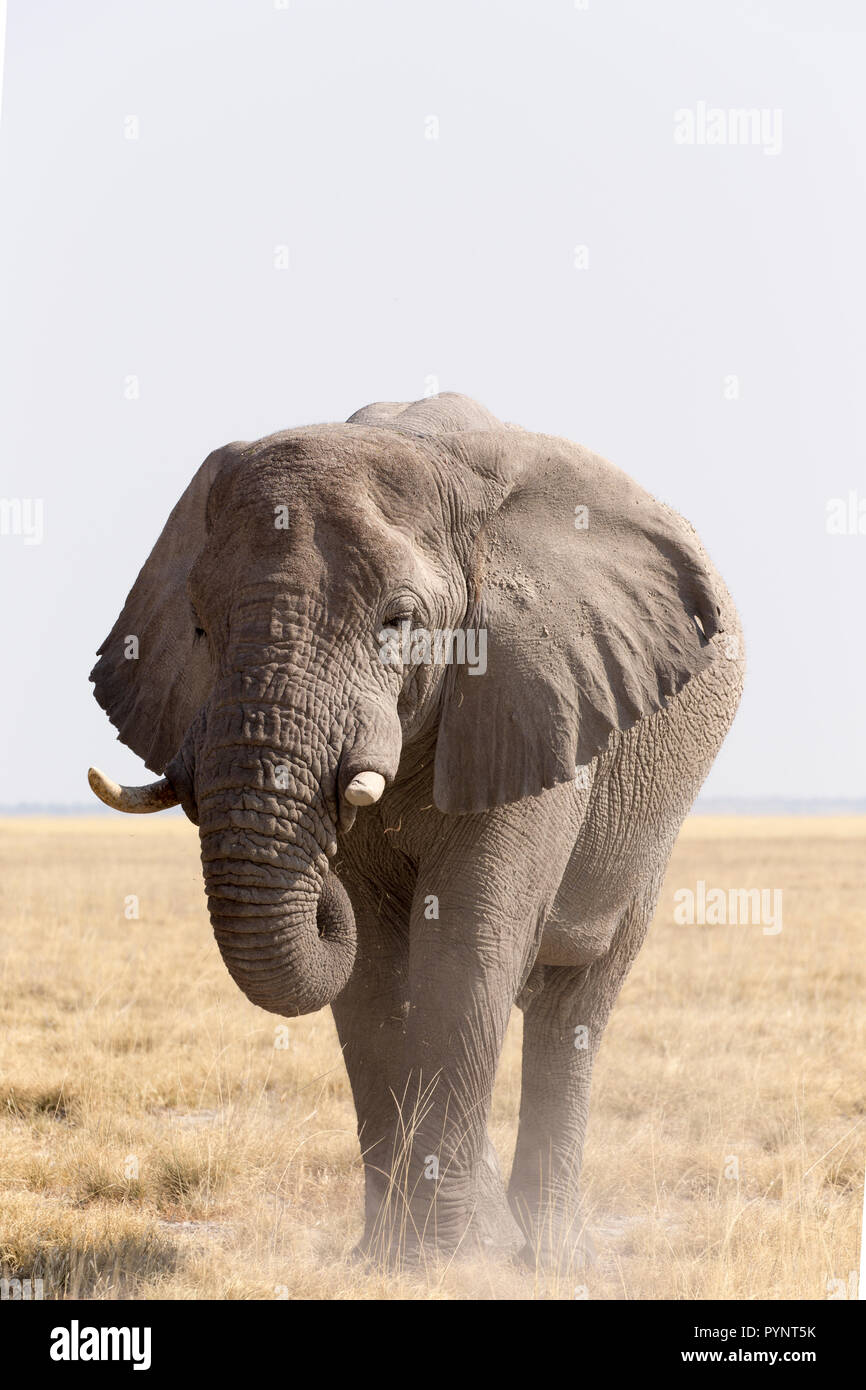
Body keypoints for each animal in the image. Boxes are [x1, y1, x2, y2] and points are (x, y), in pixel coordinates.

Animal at [88, 392, 744, 1266]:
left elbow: (466, 940)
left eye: (400, 622)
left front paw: (447, 1263)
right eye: (198, 625)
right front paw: (389, 1258)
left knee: (576, 1001)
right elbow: (375, 967)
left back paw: (551, 1256)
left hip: (654, 818)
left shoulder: (538, 693)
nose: (322, 887)